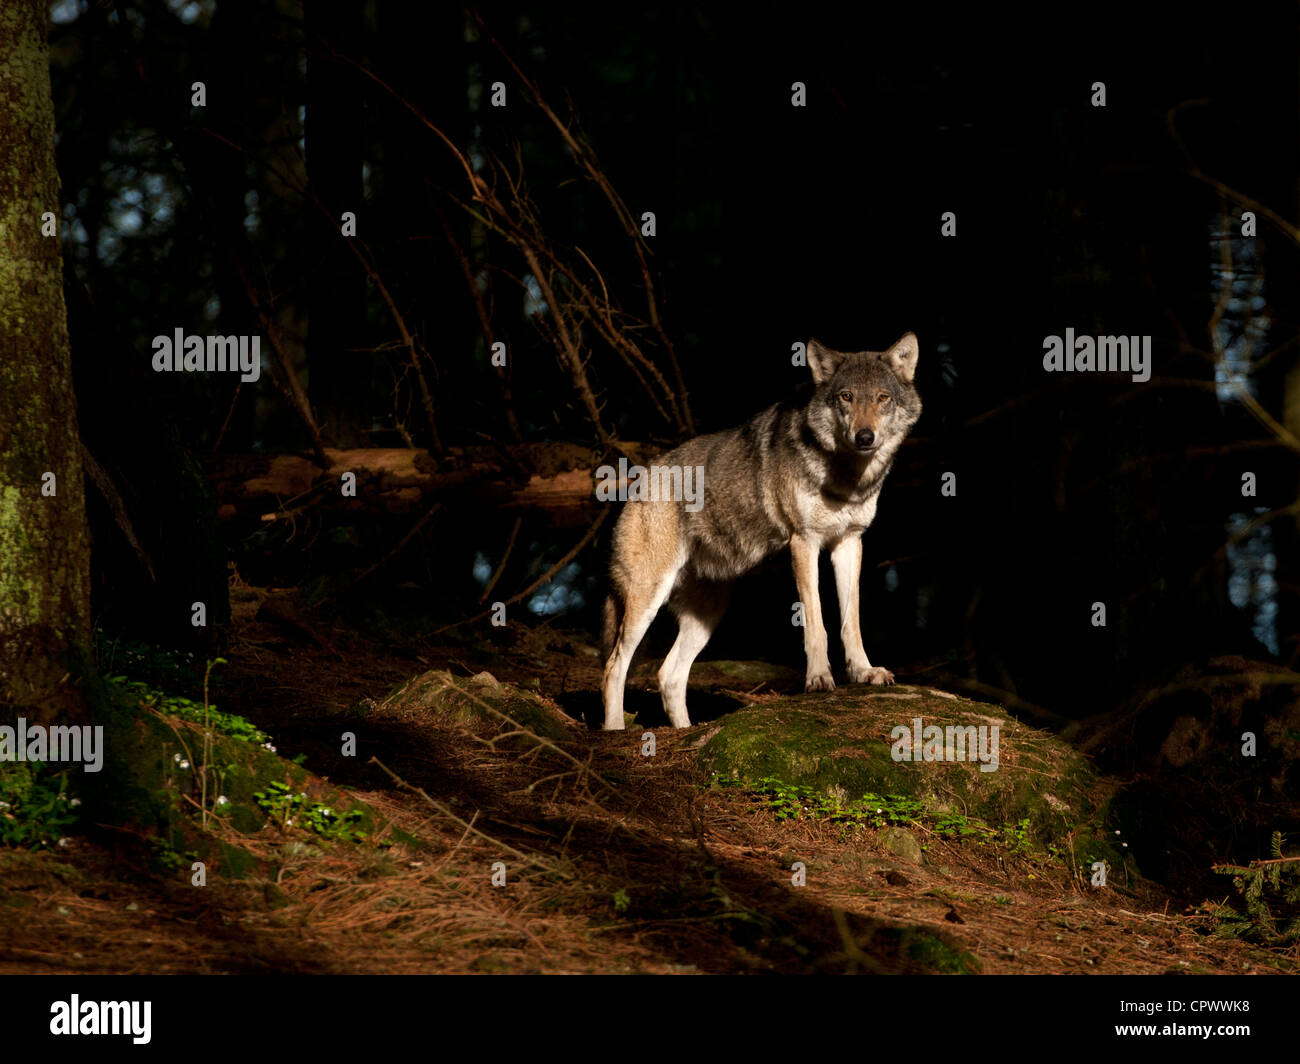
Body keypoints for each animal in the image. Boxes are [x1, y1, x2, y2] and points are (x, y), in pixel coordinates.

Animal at [601, 332, 921, 730]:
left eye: (882, 397)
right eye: (846, 397)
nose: (865, 436)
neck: (848, 476)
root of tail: (638, 480)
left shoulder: (849, 542)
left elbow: (851, 619)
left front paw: (863, 671)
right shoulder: (804, 542)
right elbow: (816, 620)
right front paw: (818, 678)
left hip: (709, 614)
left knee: (668, 675)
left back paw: (689, 731)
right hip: (647, 600)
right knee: (614, 667)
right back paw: (615, 731)